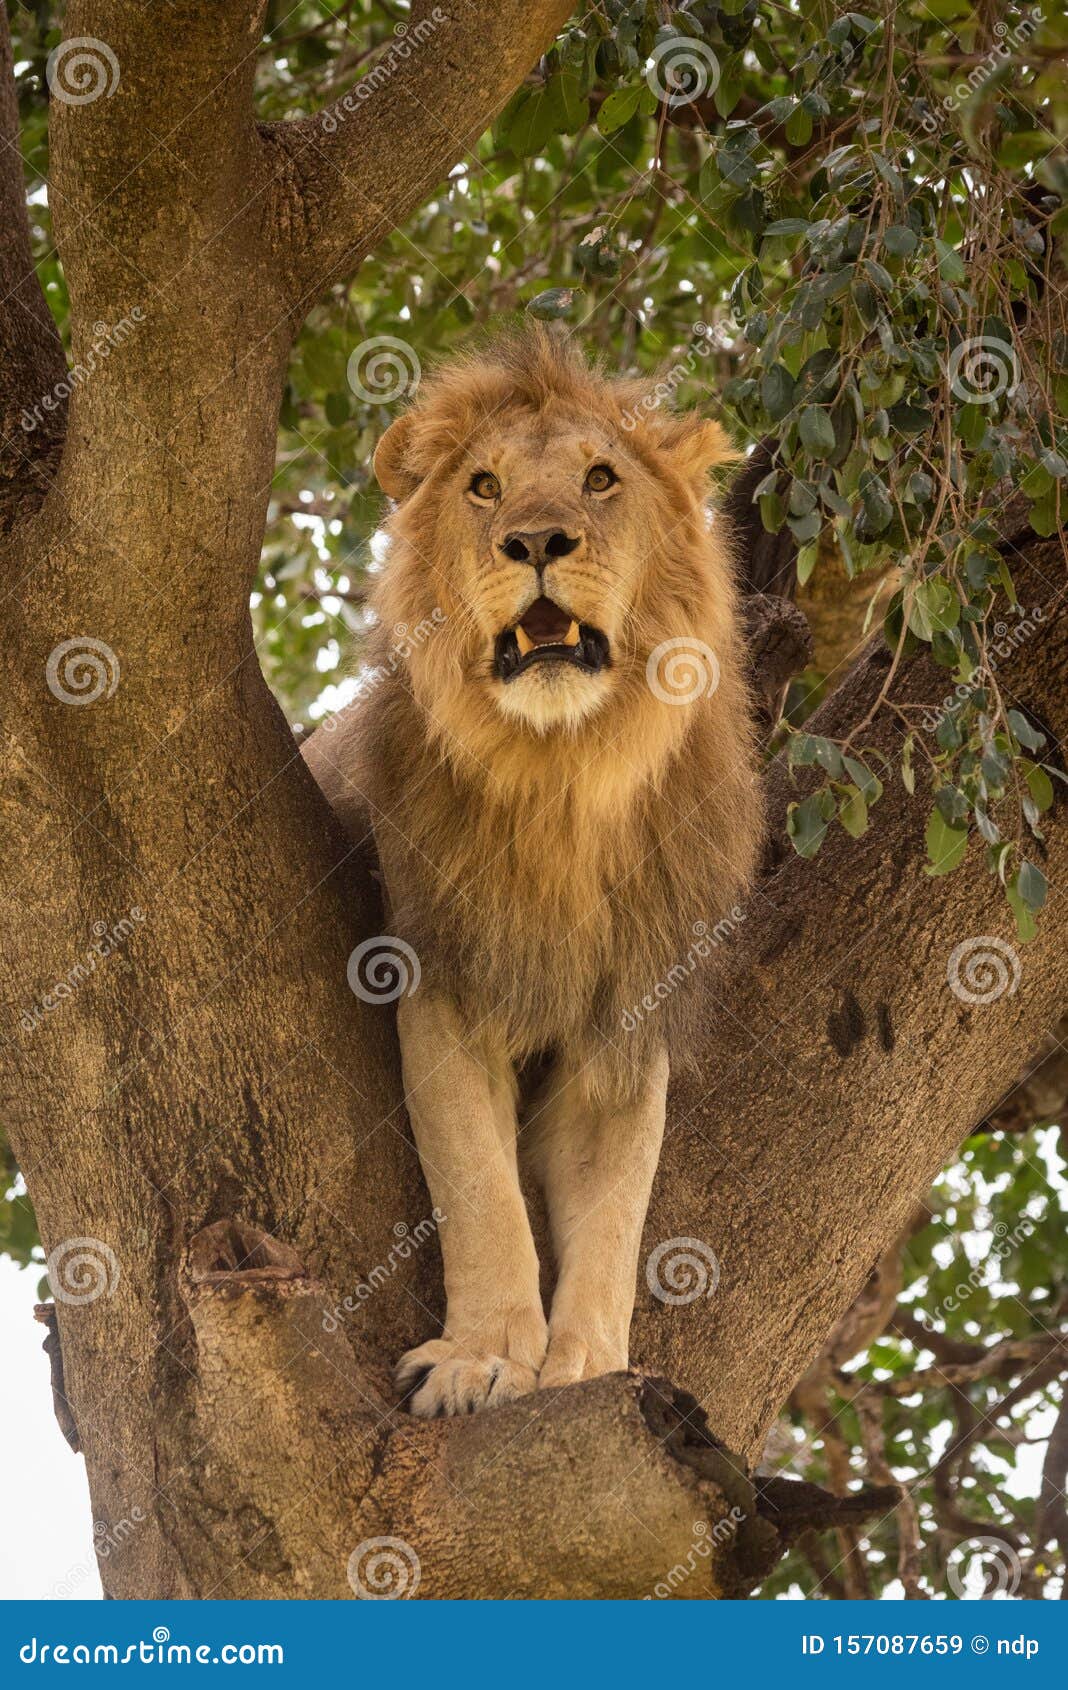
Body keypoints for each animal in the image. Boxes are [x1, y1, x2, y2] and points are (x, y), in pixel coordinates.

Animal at [302, 327, 761, 1417]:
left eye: (600, 479)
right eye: (484, 486)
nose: (539, 542)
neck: (563, 778)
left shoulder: (630, 1012)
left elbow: (615, 1213)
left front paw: (588, 1368)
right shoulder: (443, 974)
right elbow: (478, 1186)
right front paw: (484, 1358)